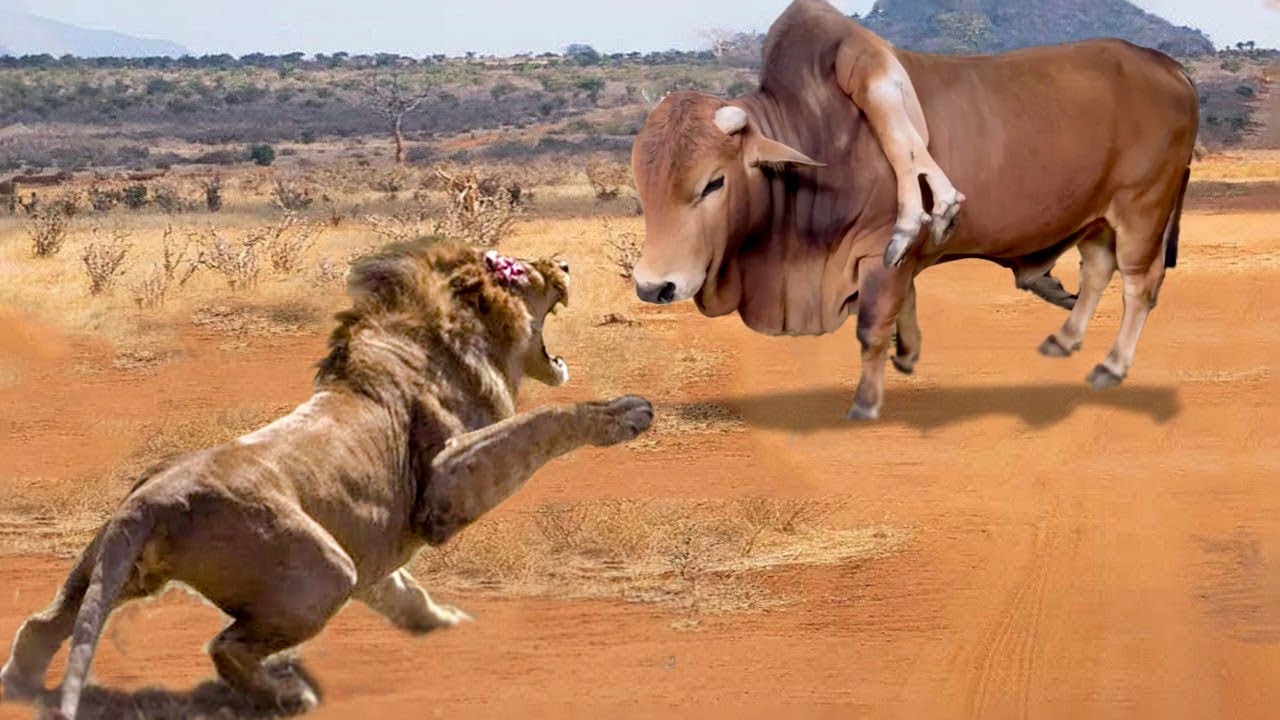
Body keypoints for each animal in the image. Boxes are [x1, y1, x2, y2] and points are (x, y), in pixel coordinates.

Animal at [0, 238, 655, 719]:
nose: (565, 264)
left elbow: (402, 590)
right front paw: (625, 412)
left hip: (114, 567)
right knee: (224, 645)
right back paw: (288, 694)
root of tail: (151, 503)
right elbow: (541, 423)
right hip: (322, 570)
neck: (463, 340)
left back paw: (20, 686)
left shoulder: (373, 546)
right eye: (521, 269)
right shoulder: (443, 484)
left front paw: (445, 624)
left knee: (42, 624)